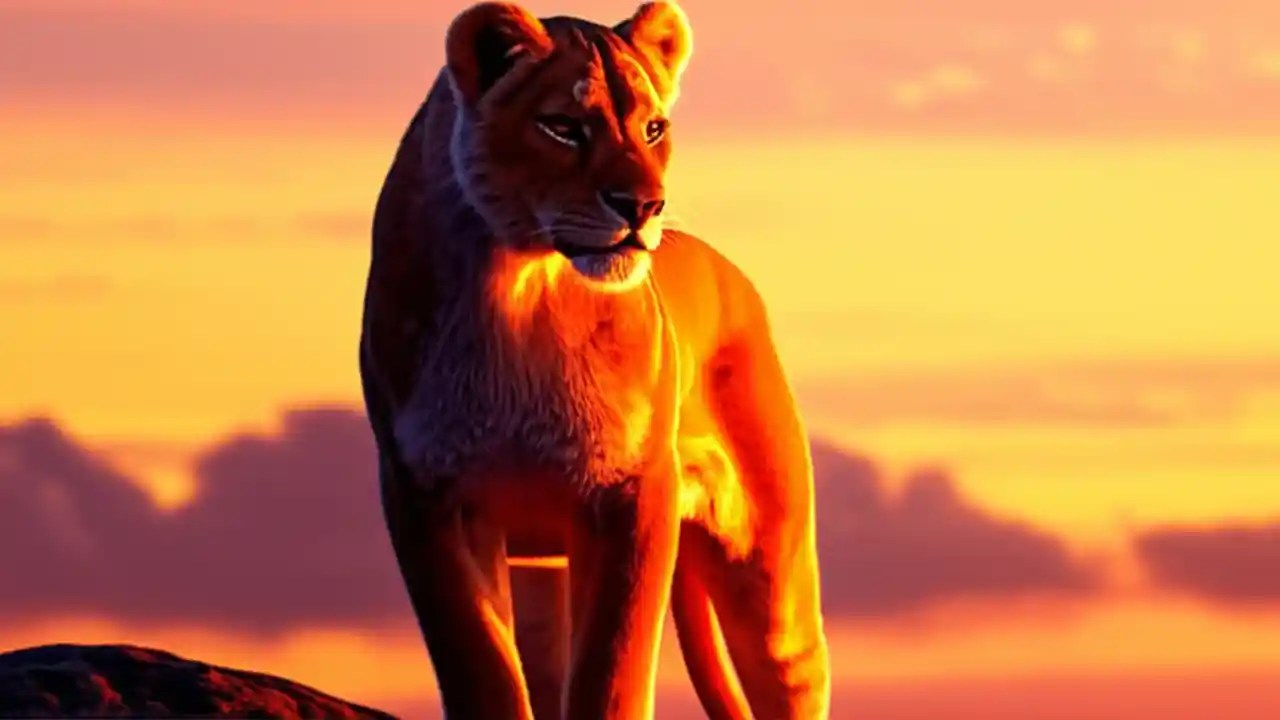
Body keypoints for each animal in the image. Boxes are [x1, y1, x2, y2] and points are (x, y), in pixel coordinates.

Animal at [358, 2, 830, 718]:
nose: (644, 205)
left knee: (796, 668)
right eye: (563, 127)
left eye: (654, 128)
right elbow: (481, 664)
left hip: (770, 567)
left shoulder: (632, 493)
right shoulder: (425, 494)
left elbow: (613, 670)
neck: (517, 294)